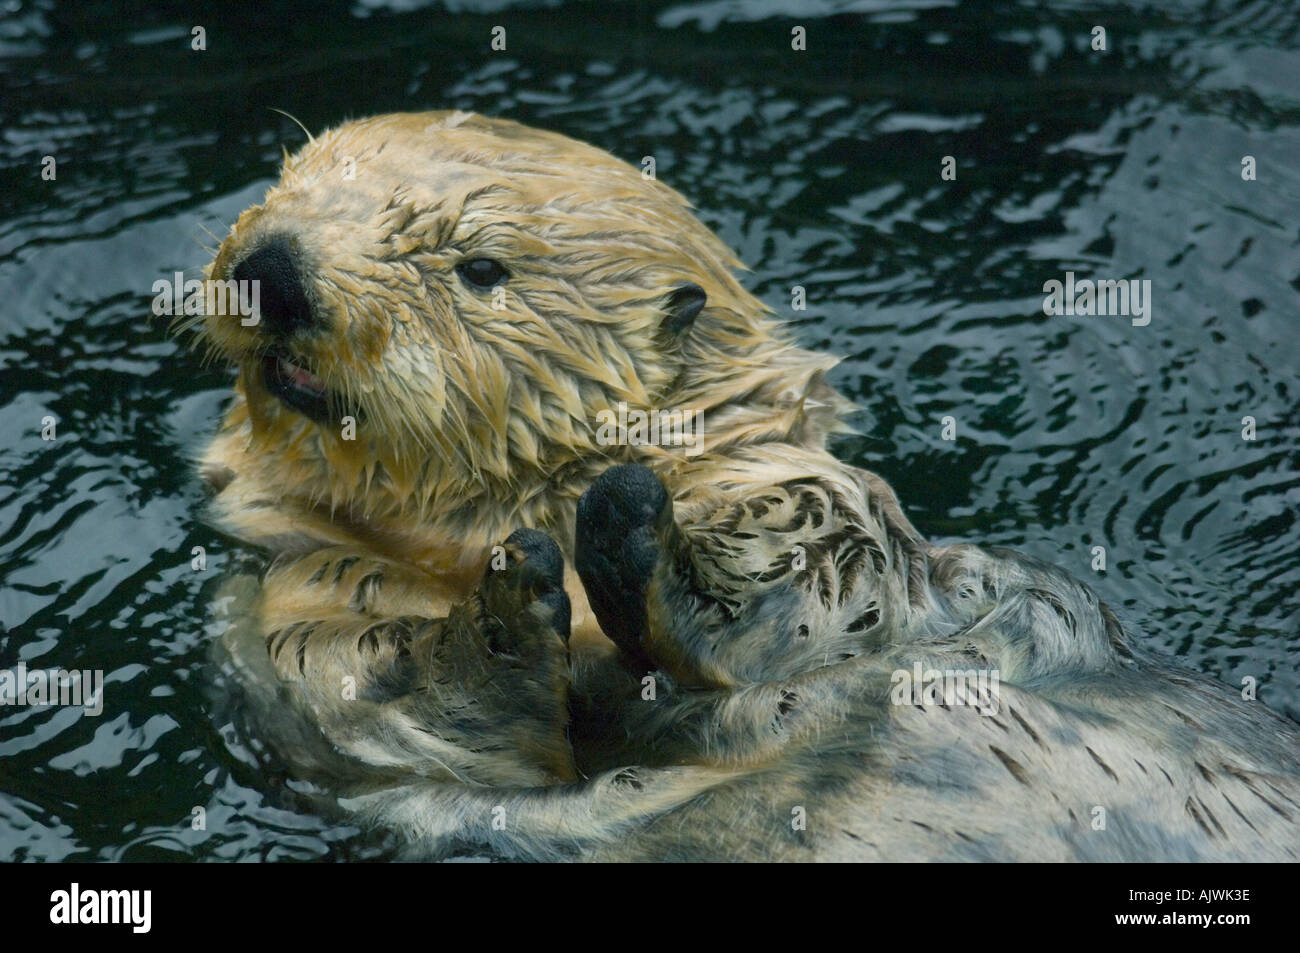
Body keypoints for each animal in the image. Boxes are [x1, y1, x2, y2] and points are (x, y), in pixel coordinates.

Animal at [192, 111, 1300, 861]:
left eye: (480, 267)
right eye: (286, 180)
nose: (273, 265)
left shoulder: (819, 499)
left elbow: (831, 552)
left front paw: (642, 544)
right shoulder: (301, 593)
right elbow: (365, 702)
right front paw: (497, 621)